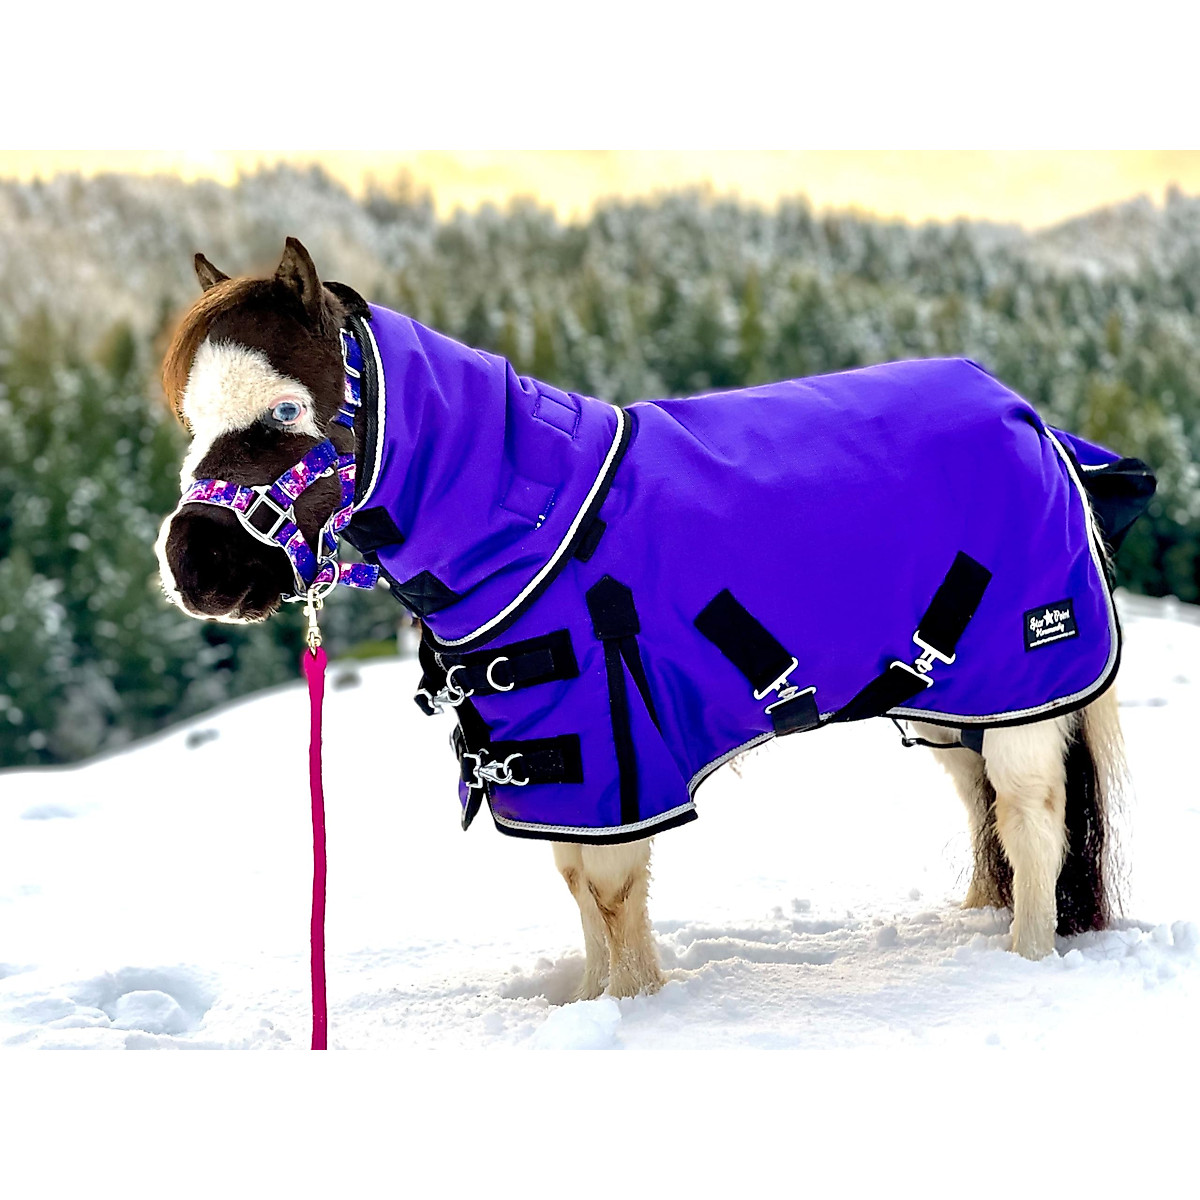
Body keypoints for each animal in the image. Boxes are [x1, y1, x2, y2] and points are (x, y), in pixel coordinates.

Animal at [156, 238, 1153, 1001]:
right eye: (189, 419)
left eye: (286, 409)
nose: (193, 568)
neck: (530, 524)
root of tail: (1030, 420)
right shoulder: (563, 777)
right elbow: (580, 897)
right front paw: (592, 1001)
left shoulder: (612, 766)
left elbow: (611, 898)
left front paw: (633, 1010)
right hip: (951, 705)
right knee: (982, 809)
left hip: (1024, 691)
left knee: (1031, 823)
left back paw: (1023, 960)